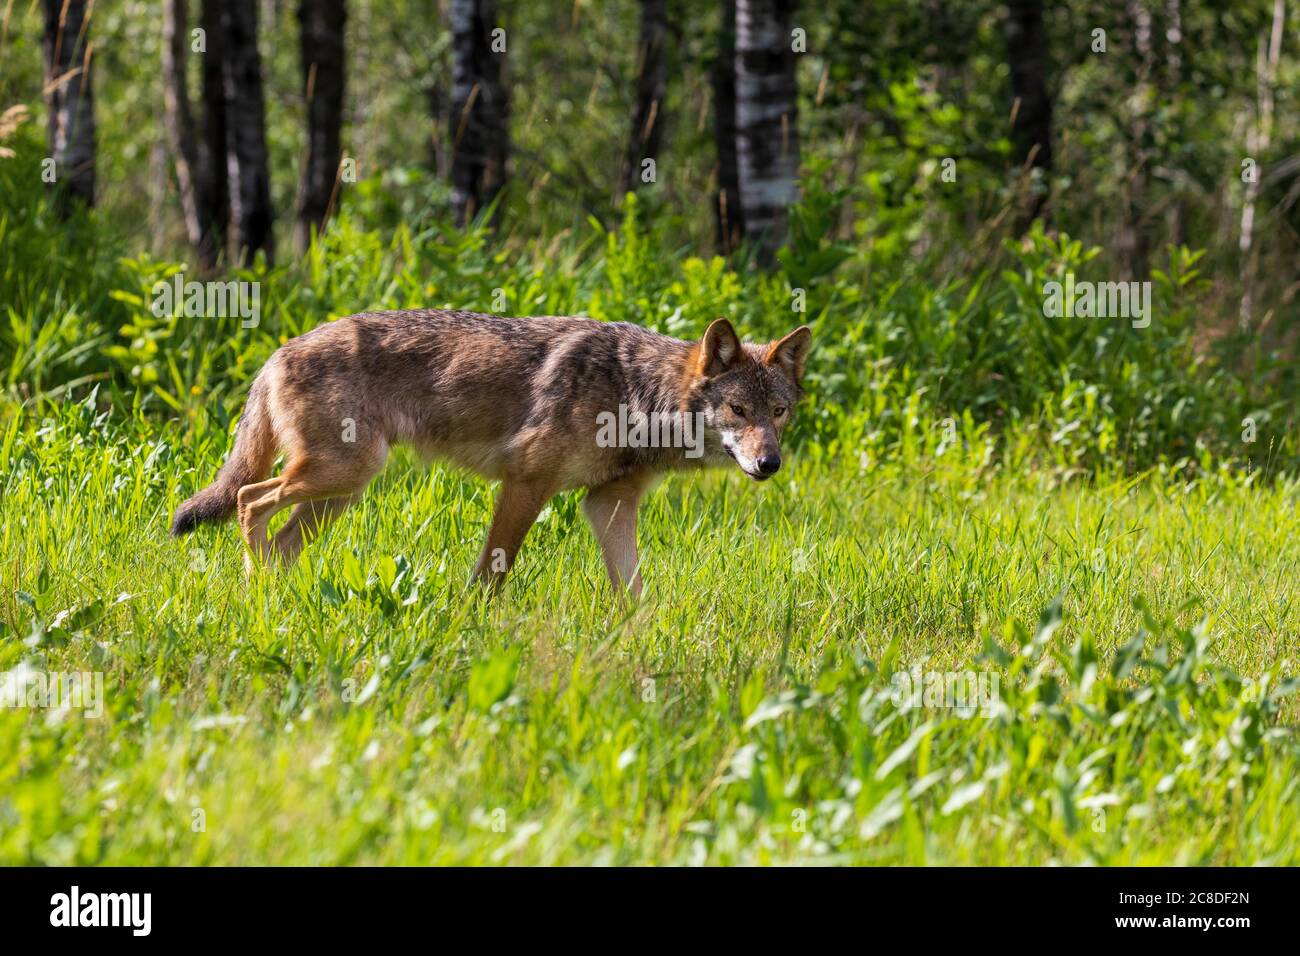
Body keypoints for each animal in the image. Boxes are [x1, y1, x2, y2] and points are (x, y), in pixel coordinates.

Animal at [171, 310, 811, 595]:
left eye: (778, 413)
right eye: (738, 411)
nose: (770, 464)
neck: (636, 394)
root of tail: (277, 351)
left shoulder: (608, 504)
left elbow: (633, 590)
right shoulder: (526, 483)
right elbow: (493, 572)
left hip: (343, 490)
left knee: (277, 537)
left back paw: (277, 598)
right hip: (341, 475)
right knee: (249, 499)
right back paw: (257, 592)